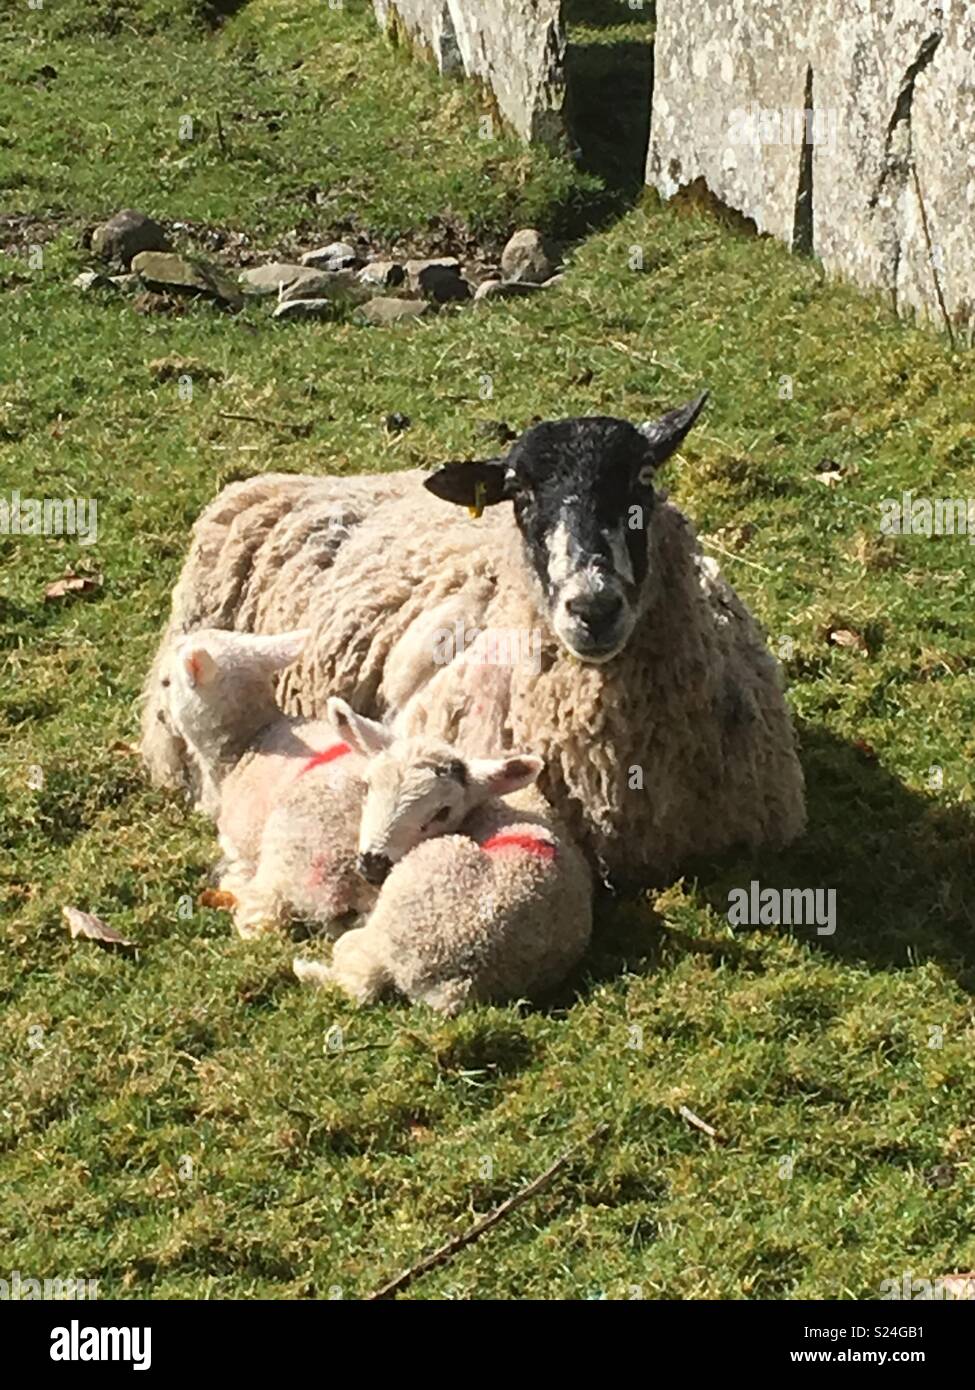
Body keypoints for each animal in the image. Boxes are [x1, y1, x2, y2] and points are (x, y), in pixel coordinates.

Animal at [162, 627, 376, 938]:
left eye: (165, 682)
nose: (160, 716)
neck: (249, 742)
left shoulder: (240, 834)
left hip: (289, 848)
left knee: (264, 913)